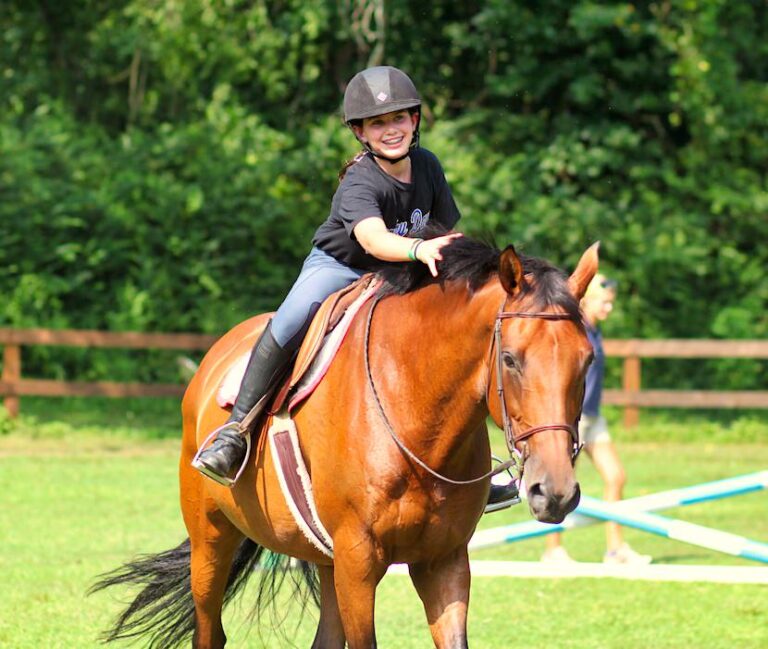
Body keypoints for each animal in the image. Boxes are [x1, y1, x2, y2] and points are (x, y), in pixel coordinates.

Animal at [93, 237, 598, 648]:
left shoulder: (445, 560)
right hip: (211, 538)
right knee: (209, 630)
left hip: (324, 558)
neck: (414, 407)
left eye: (587, 360)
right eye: (510, 359)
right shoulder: (359, 561)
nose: (554, 492)